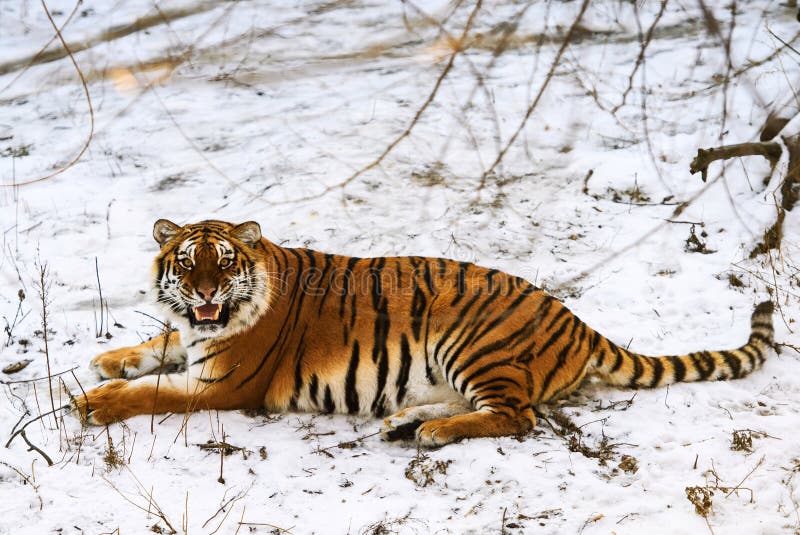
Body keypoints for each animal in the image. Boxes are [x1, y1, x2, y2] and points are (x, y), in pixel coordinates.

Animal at [72, 219, 775, 447]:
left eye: (223, 263)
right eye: (189, 263)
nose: (205, 294)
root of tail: (573, 319)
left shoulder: (224, 385)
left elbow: (154, 394)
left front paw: (94, 401)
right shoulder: (192, 343)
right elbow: (157, 348)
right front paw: (110, 361)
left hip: (472, 343)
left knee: (516, 416)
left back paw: (431, 433)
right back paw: (405, 423)